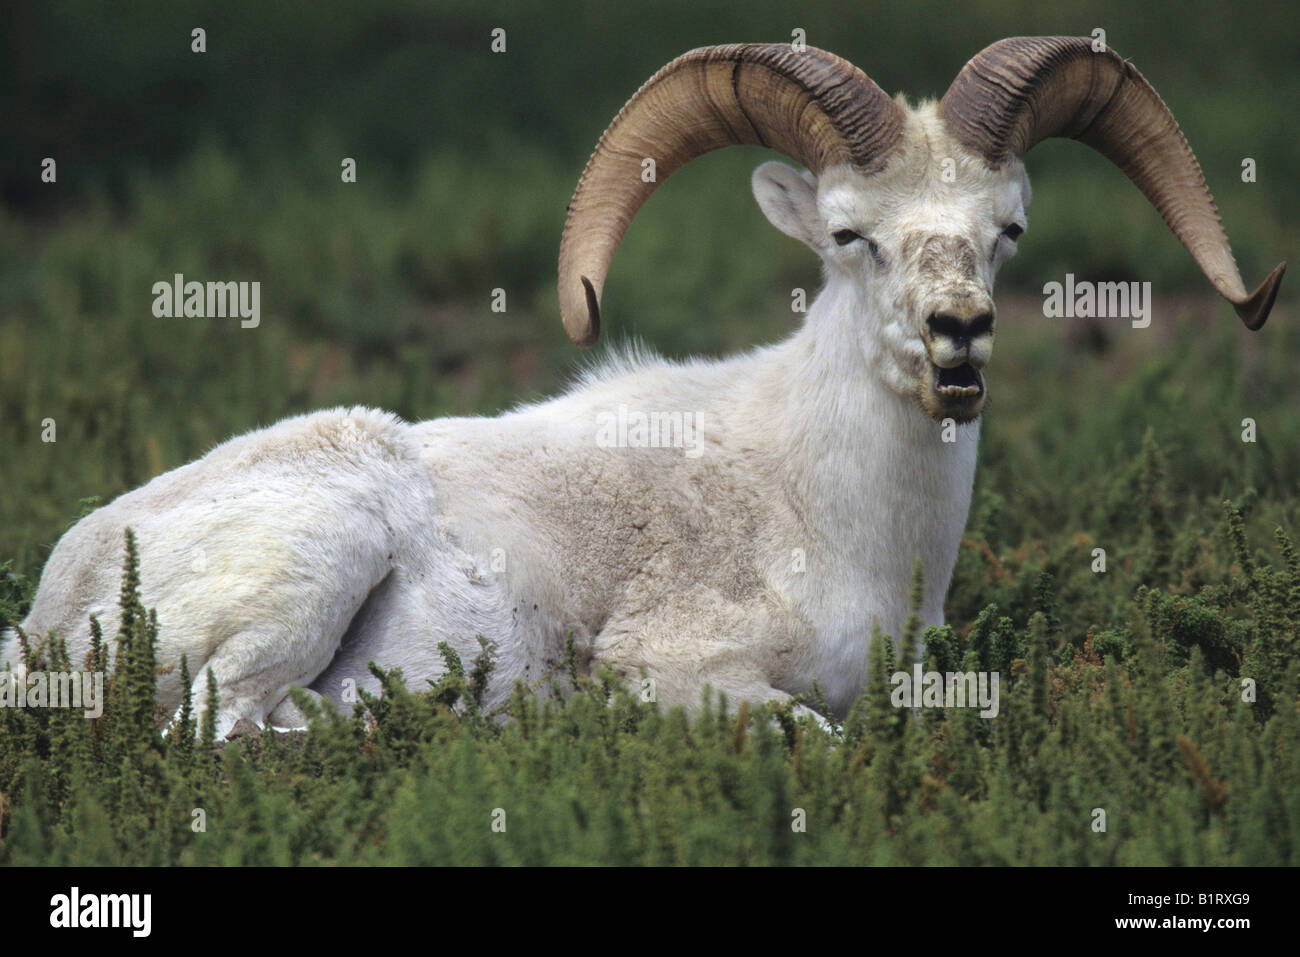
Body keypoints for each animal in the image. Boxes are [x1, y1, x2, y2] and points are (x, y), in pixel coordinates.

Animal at [3, 37, 1285, 738]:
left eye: (1006, 230)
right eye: (849, 234)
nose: (957, 337)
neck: (830, 515)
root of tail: (54, 616)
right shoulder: (683, 671)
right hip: (317, 558)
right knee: (224, 730)